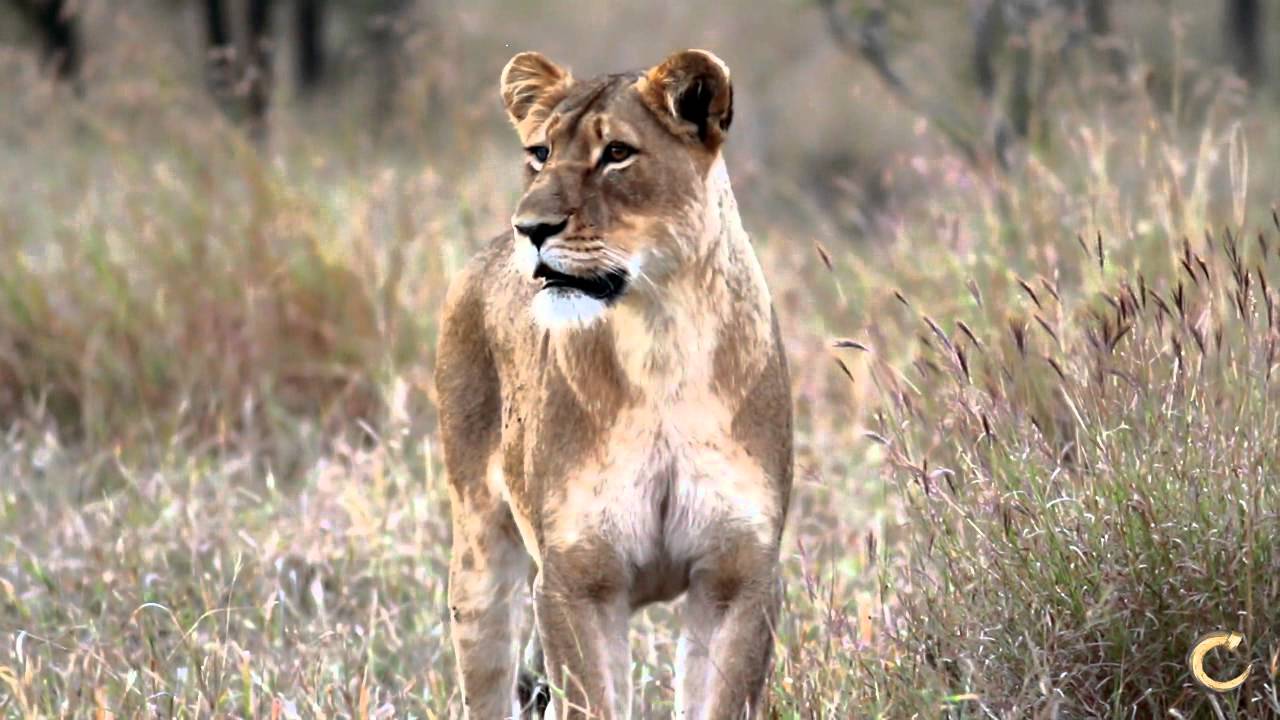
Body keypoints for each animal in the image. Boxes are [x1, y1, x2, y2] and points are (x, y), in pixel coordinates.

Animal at [434, 48, 793, 719]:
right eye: (540, 152)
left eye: (618, 153)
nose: (530, 228)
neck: (661, 337)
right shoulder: (579, 579)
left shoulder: (738, 576)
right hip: (479, 555)